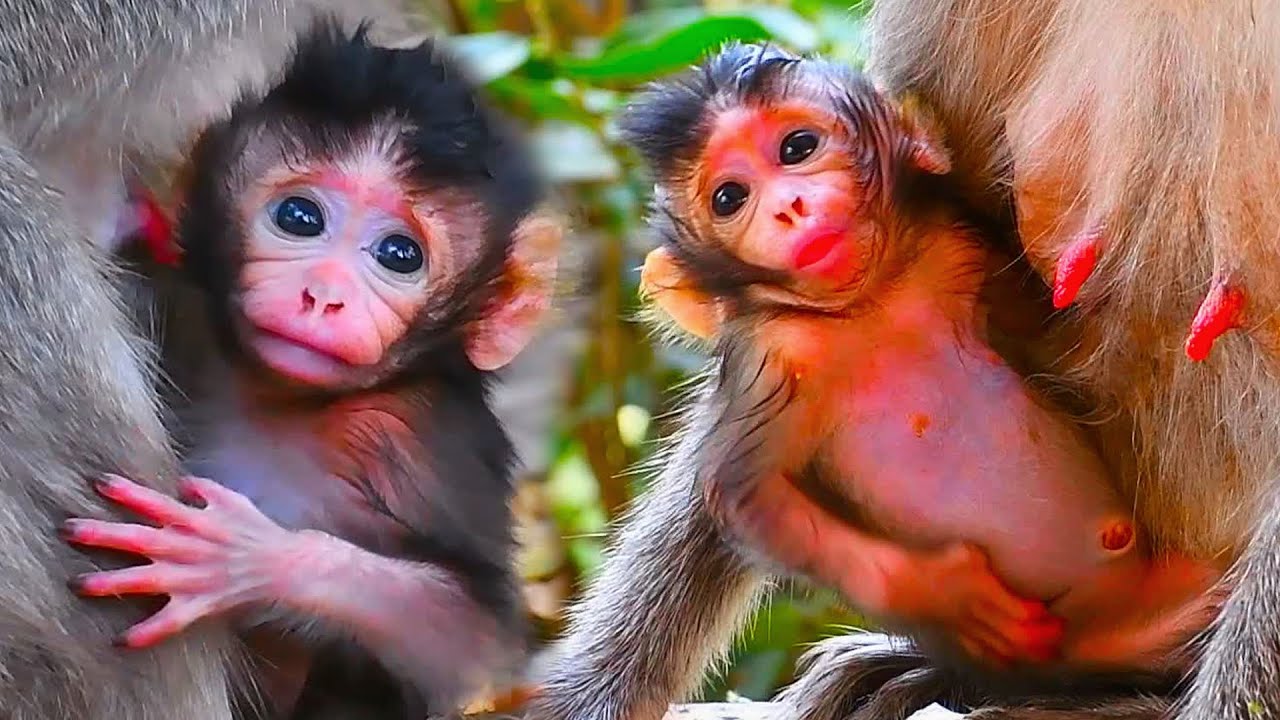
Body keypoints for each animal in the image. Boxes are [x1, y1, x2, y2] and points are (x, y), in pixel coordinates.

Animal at [57, 21, 562, 720]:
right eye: (299, 218)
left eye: (400, 255)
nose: (322, 295)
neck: (283, 400)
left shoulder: (419, 437)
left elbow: (463, 629)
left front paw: (245, 560)